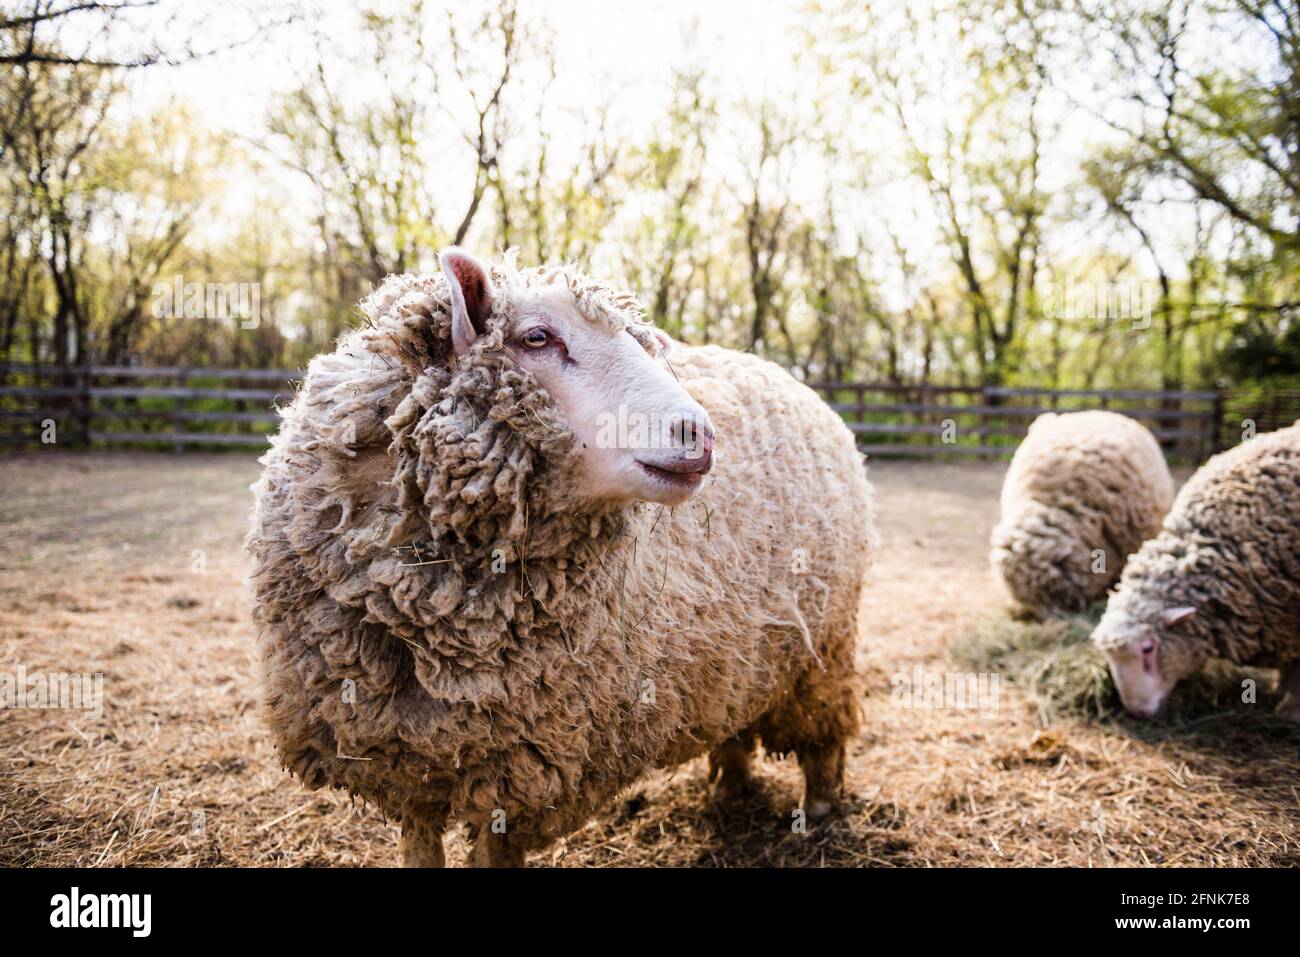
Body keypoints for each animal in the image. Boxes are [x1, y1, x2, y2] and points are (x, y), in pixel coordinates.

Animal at [246, 248, 876, 867]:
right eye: (537, 337)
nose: (699, 434)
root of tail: (785, 377)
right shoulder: (403, 763)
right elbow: (420, 849)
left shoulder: (519, 767)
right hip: (738, 655)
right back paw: (729, 788)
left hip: (826, 646)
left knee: (825, 732)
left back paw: (818, 807)